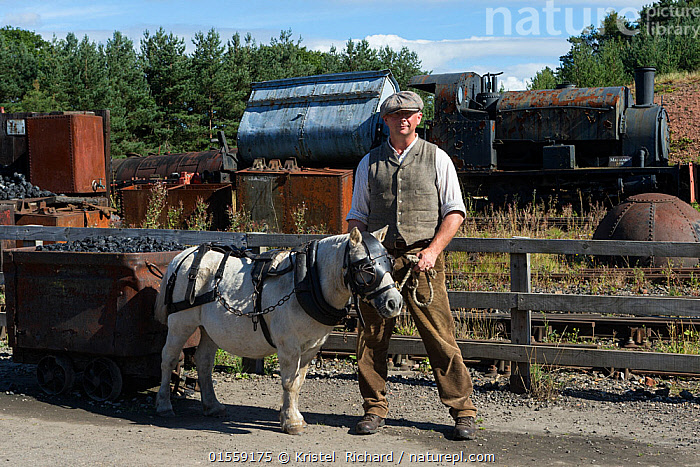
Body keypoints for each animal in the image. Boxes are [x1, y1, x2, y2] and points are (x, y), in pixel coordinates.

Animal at [153, 226, 403, 434]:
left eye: (389, 264)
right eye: (367, 268)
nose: (395, 302)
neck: (306, 282)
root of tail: (183, 257)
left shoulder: (310, 348)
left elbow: (298, 382)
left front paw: (291, 417)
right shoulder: (289, 347)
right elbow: (289, 383)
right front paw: (292, 422)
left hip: (209, 329)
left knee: (204, 362)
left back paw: (212, 405)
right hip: (181, 324)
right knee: (168, 358)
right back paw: (164, 405)